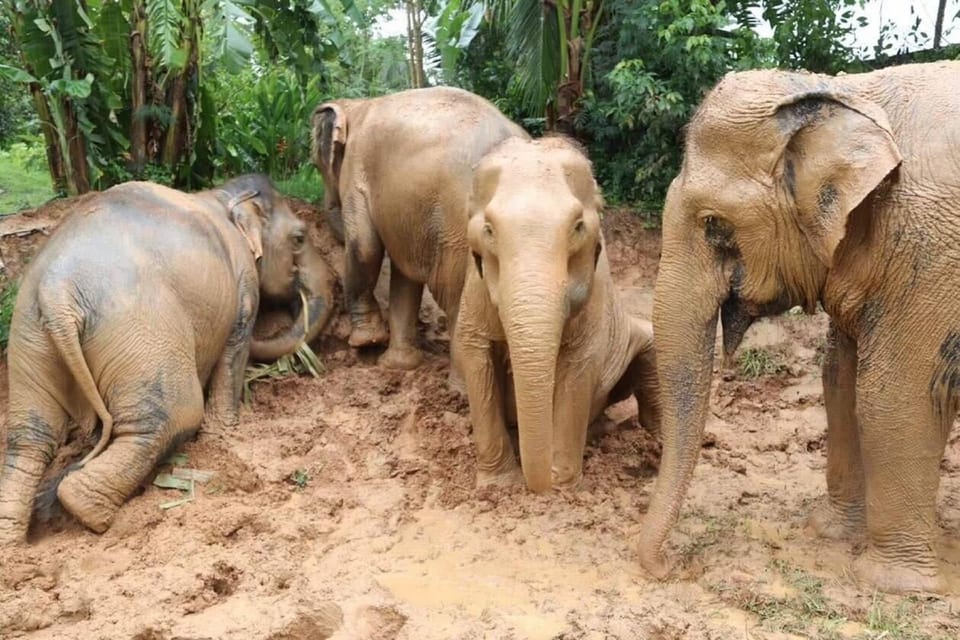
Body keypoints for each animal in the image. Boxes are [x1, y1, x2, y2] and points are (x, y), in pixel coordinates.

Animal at [0, 174, 336, 543]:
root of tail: (56, 291)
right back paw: (93, 516)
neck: (222, 194)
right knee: (171, 416)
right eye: (299, 238)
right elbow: (236, 343)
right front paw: (227, 432)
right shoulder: (244, 282)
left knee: (30, 439)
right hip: (139, 328)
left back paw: (14, 540)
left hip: (29, 337)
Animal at [310, 86, 529, 371]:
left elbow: (365, 248)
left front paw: (366, 343)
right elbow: (404, 275)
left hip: (456, 226)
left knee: (454, 295)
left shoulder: (356, 170)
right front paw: (396, 365)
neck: (357, 105)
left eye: (316, 165)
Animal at [454, 136, 661, 492]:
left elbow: (578, 368)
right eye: (489, 230)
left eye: (578, 227)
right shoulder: (474, 293)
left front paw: (562, 486)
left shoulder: (594, 298)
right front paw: (499, 485)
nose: (541, 482)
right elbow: (476, 356)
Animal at [639, 61, 960, 594]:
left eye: (713, 223)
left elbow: (894, 394)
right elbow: (840, 381)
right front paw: (828, 532)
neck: (848, 89)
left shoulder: (933, 253)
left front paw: (893, 584)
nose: (669, 568)